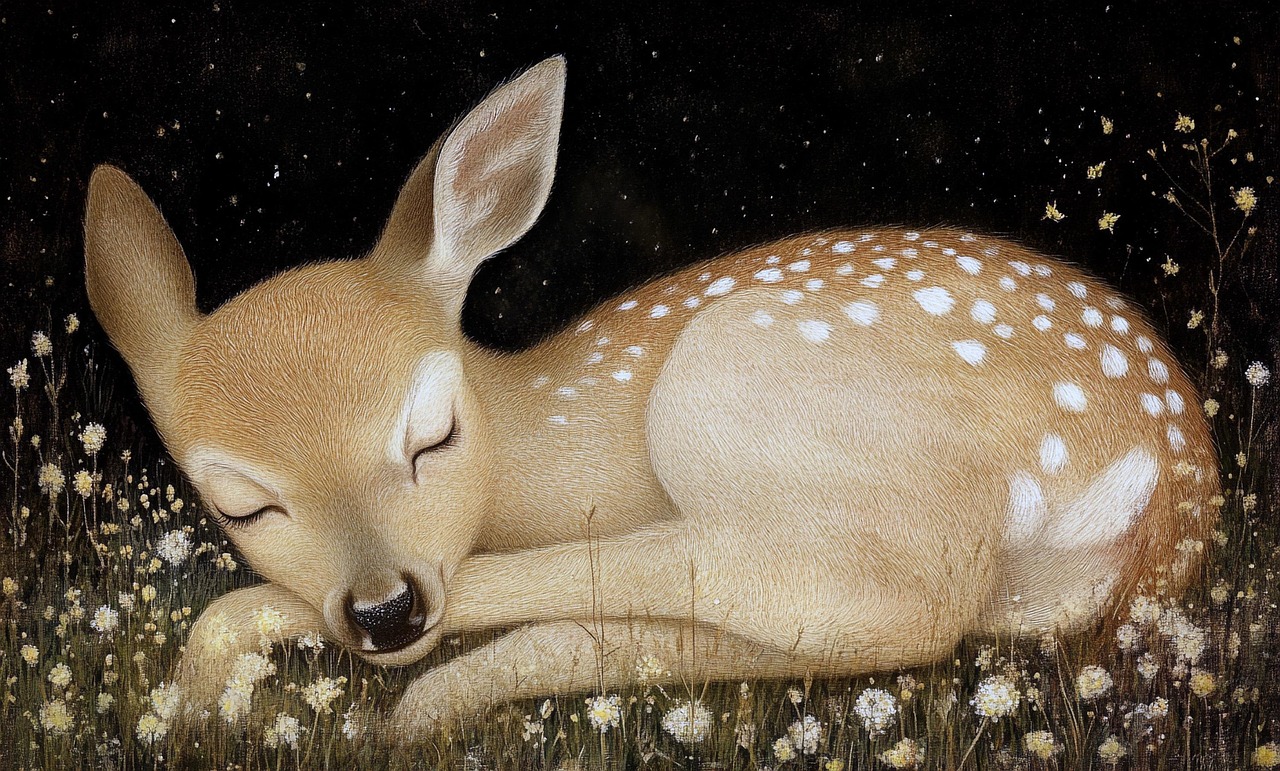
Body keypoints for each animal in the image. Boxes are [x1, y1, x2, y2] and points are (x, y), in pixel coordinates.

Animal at [83, 55, 1219, 737]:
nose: (384, 611)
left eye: (430, 437)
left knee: (877, 600)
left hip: (755, 397)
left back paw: (409, 699)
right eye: (241, 504)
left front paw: (205, 691)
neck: (530, 427)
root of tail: (1172, 476)